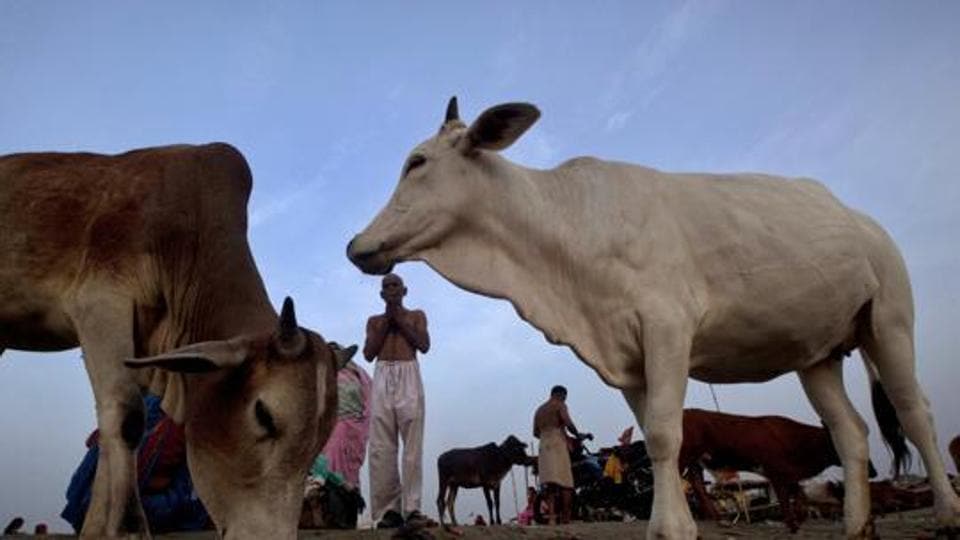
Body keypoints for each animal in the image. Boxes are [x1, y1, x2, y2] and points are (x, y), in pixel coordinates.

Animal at [0, 143, 350, 539]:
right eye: (263, 414)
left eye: (320, 441)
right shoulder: (99, 304)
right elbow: (125, 417)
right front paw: (129, 527)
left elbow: (109, 428)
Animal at [679, 408, 877, 532]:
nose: (873, 471)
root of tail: (687, 411)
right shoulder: (776, 471)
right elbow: (784, 498)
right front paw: (792, 524)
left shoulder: (789, 474)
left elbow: (800, 495)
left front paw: (799, 519)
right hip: (684, 455)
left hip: (695, 461)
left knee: (697, 484)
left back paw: (719, 518)